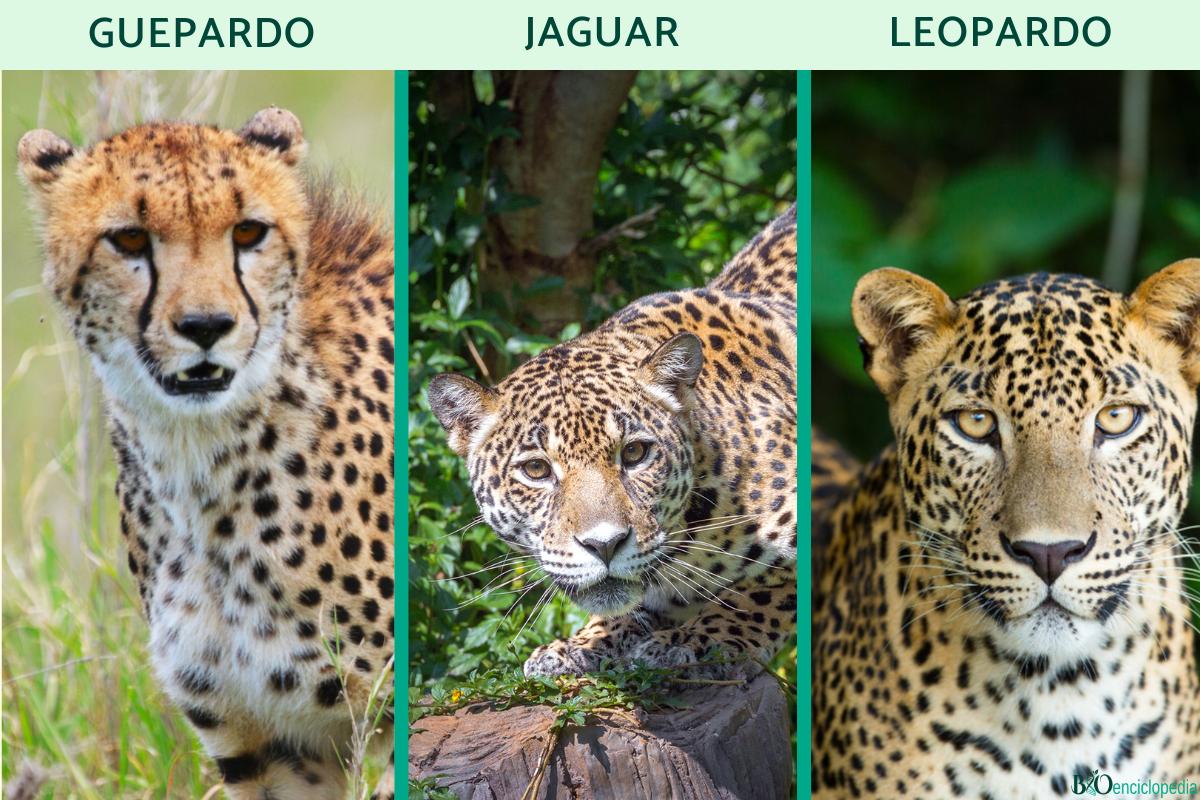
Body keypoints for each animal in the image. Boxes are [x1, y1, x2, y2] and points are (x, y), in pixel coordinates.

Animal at [428, 207, 798, 684]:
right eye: (536, 470)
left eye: (635, 454)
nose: (604, 545)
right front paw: (578, 646)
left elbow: (758, 595)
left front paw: (695, 639)